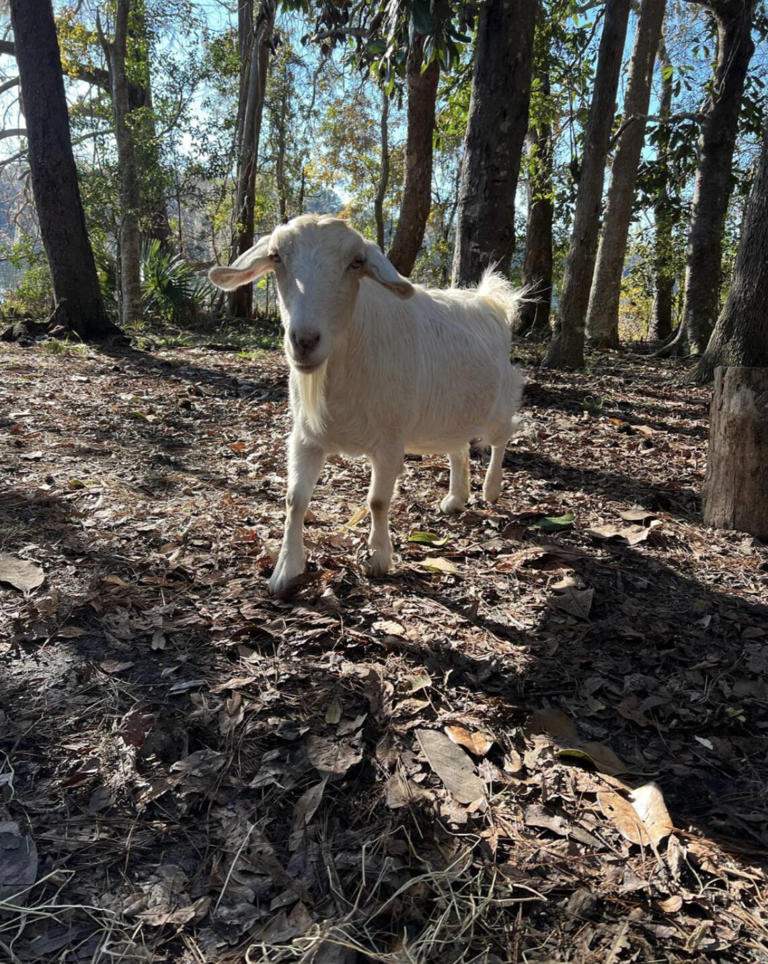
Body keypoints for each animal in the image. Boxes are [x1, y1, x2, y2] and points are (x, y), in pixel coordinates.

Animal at [209, 215, 524, 597]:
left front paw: (378, 558)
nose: (305, 341)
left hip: (498, 402)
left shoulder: (389, 441)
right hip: (449, 412)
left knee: (503, 436)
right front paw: (286, 569)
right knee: (458, 447)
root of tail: (489, 301)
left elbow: (377, 500)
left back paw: (491, 489)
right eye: (276, 256)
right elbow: (294, 500)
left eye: (356, 262)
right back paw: (456, 498)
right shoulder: (305, 438)